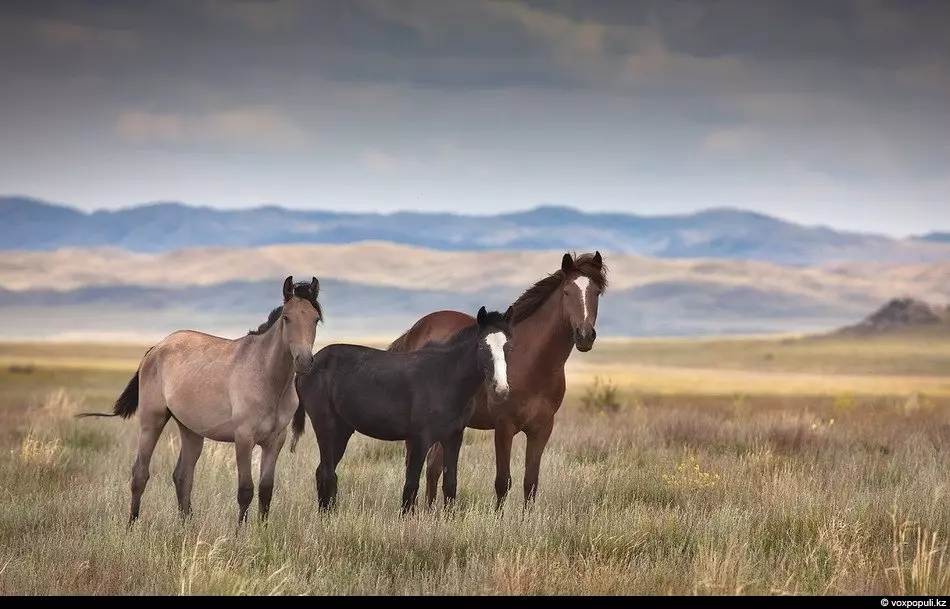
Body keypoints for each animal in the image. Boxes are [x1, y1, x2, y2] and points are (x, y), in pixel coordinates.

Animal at [78, 276, 324, 528]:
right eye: (287, 318)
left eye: (315, 319)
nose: (304, 361)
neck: (267, 376)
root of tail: (156, 348)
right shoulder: (243, 438)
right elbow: (246, 489)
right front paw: (240, 532)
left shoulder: (275, 441)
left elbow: (266, 490)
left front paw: (262, 531)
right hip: (152, 422)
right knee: (140, 473)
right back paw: (132, 525)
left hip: (191, 431)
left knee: (182, 476)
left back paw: (186, 526)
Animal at [290, 306, 512, 510]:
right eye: (482, 347)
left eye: (509, 348)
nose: (500, 390)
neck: (445, 378)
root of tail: (307, 366)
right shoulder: (421, 438)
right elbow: (411, 486)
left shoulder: (453, 437)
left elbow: (450, 485)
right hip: (325, 426)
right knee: (327, 474)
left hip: (343, 430)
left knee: (323, 472)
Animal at [388, 249, 608, 510]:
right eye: (567, 292)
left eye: (596, 293)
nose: (584, 336)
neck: (532, 361)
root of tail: (415, 330)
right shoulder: (504, 426)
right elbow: (503, 481)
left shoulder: (542, 429)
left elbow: (530, 483)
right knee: (415, 465)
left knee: (433, 467)